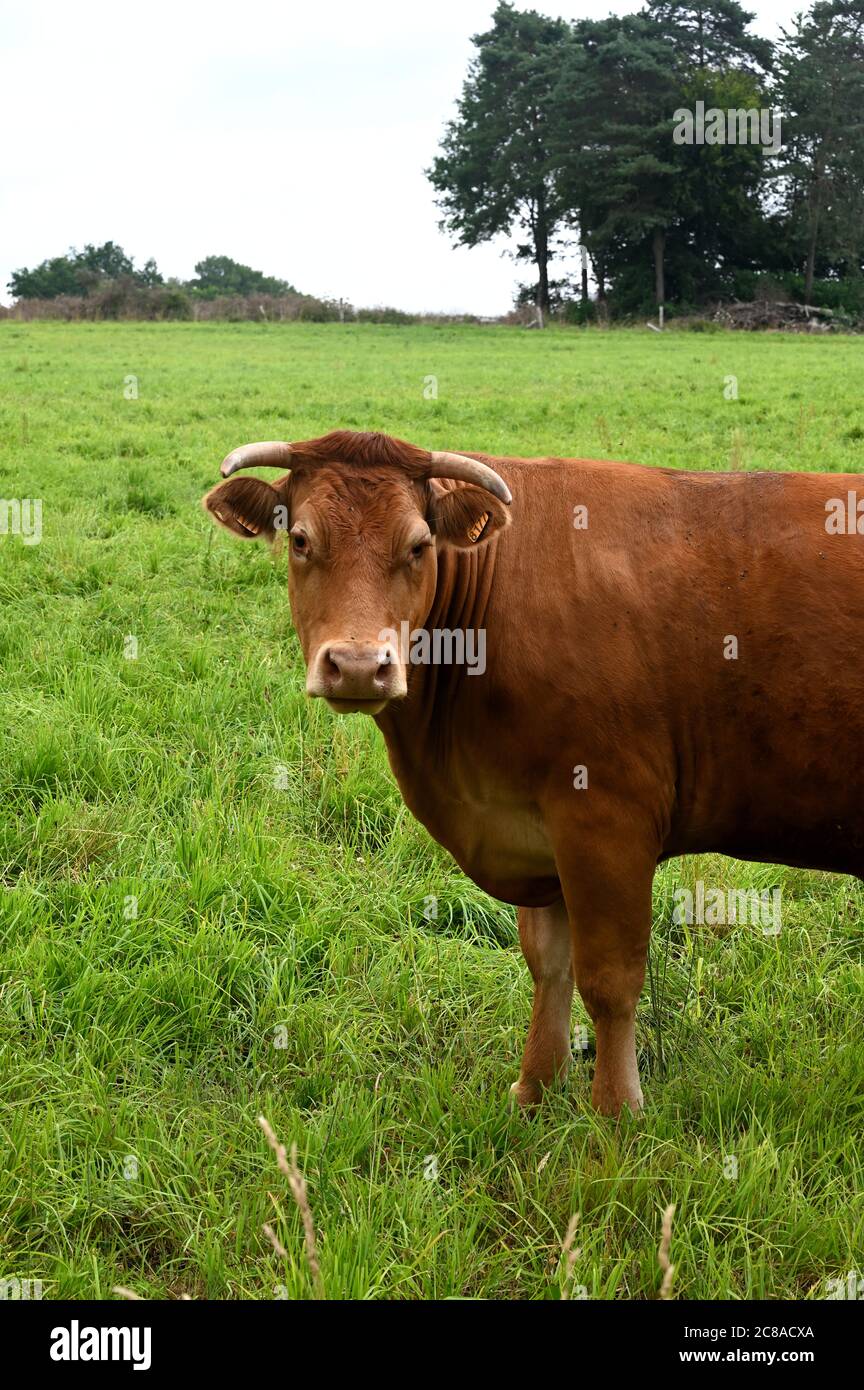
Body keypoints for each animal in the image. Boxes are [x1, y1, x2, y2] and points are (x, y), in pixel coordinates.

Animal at [203, 429, 864, 1116]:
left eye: (418, 545)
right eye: (301, 540)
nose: (359, 667)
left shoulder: (607, 816)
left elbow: (609, 979)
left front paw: (616, 1111)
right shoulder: (537, 825)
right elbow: (549, 963)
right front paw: (535, 1089)